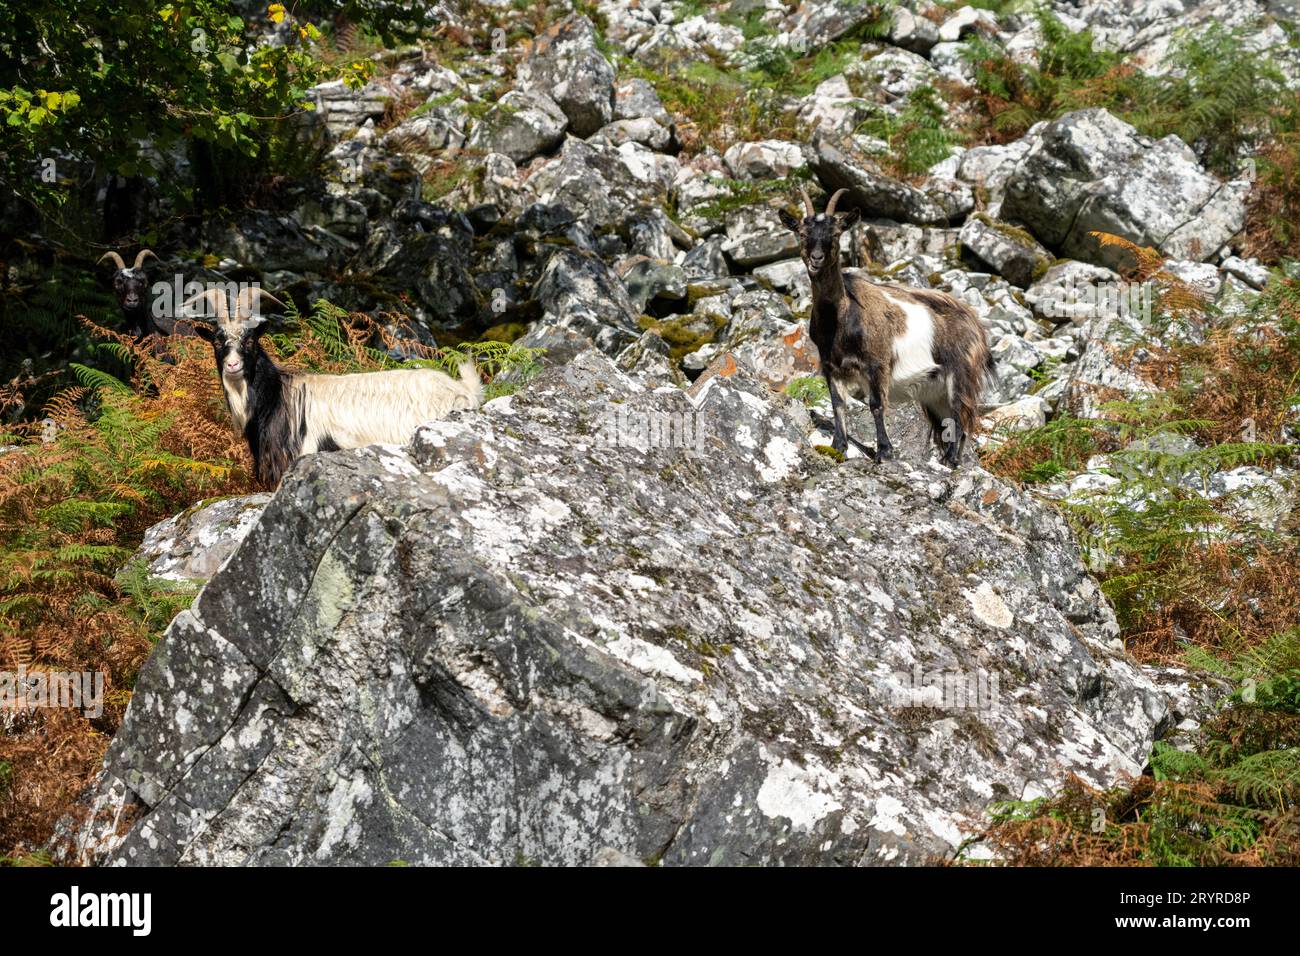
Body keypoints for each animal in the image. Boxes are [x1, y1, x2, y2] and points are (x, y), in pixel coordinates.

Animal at [779, 188, 993, 467]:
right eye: (802, 234)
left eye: (836, 234)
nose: (816, 259)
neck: (840, 319)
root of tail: (975, 323)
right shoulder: (831, 367)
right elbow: (838, 403)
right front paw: (838, 447)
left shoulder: (876, 362)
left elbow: (876, 405)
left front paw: (884, 451)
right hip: (934, 392)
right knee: (950, 421)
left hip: (961, 374)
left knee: (961, 417)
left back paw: (950, 461)